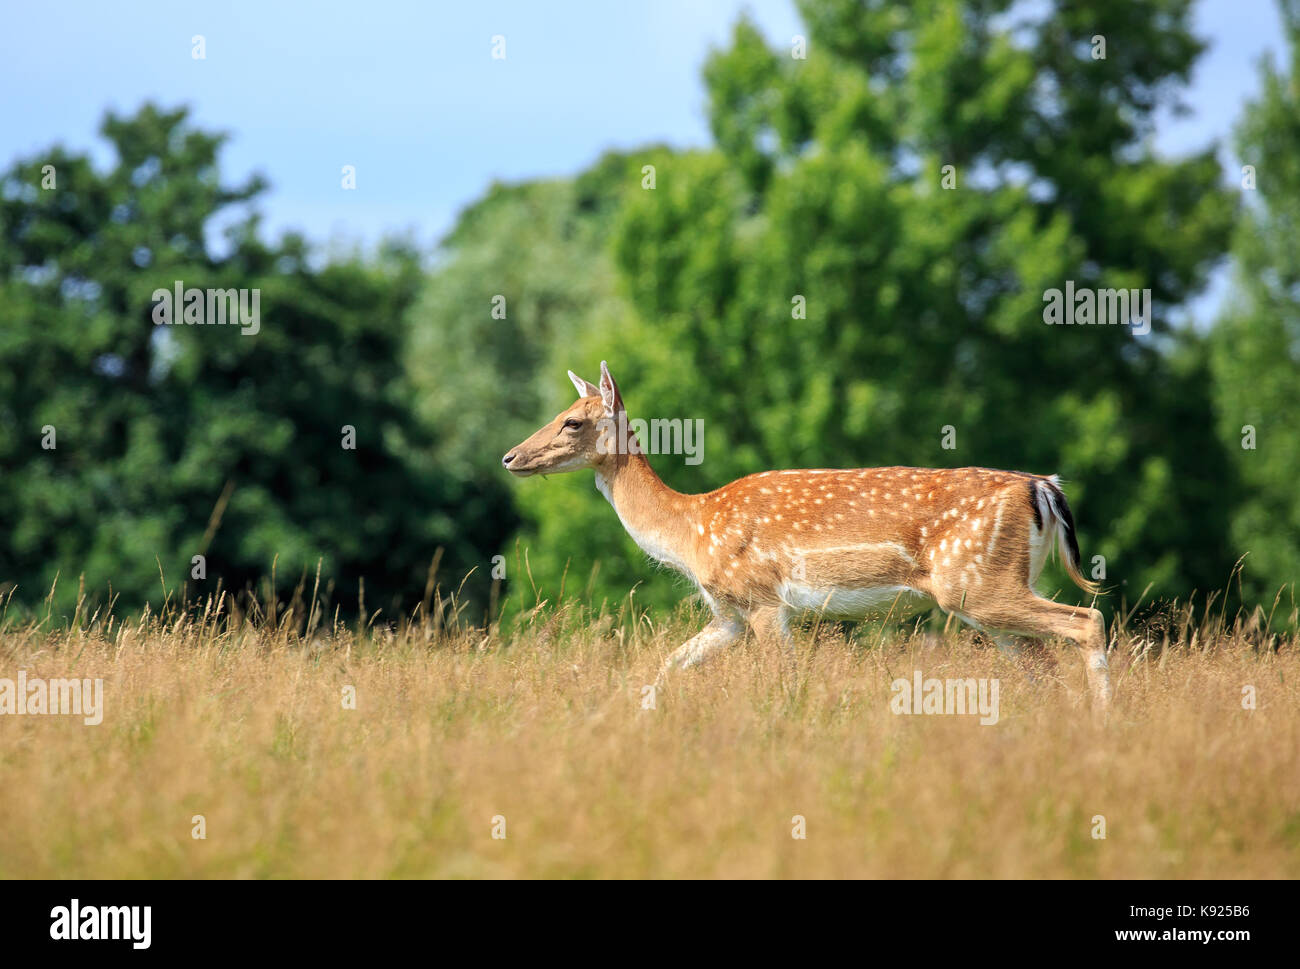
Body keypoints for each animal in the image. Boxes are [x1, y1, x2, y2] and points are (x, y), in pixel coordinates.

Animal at [502, 362, 1111, 710]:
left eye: (572, 421)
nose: (509, 456)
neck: (691, 529)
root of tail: (1043, 488)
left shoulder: (763, 599)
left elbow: (785, 682)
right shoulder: (728, 613)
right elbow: (667, 666)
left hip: (977, 581)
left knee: (1088, 619)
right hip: (985, 596)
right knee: (1044, 665)